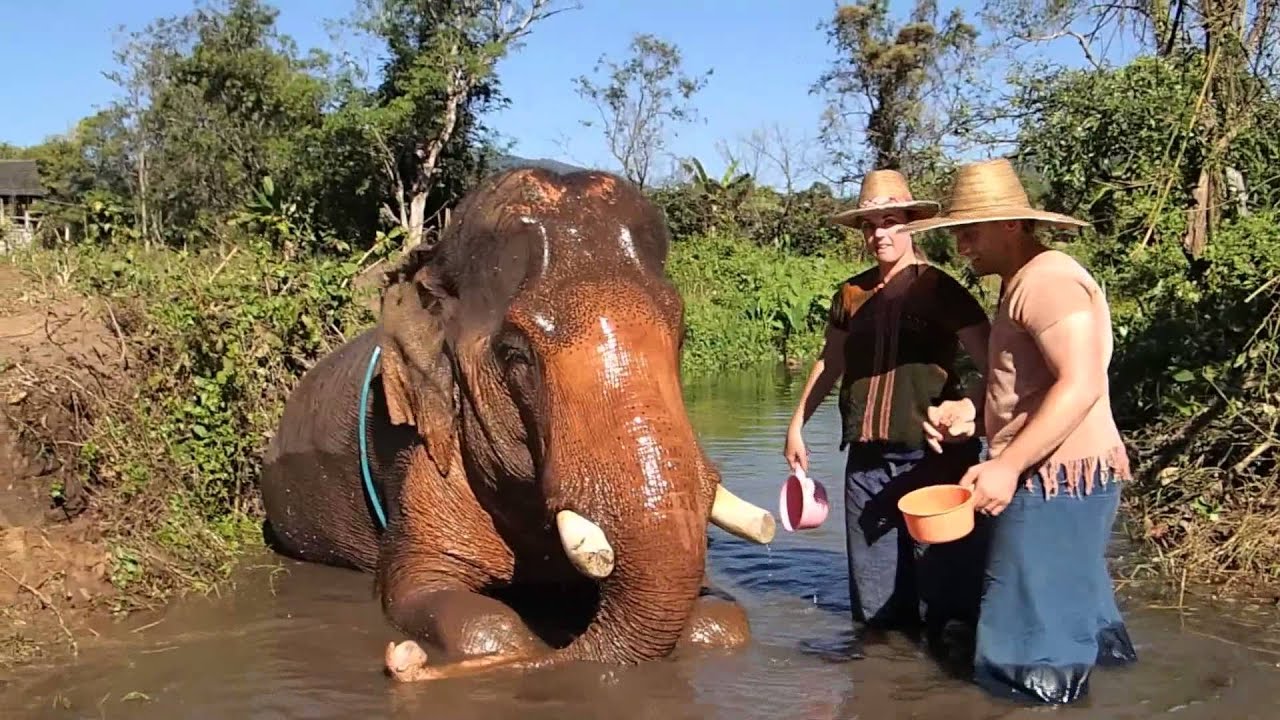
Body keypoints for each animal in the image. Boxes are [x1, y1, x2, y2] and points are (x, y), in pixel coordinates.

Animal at [257, 166, 777, 683]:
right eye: (514, 354)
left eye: (682, 334)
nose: (402, 661)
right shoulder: (423, 453)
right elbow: (435, 595)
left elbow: (723, 620)